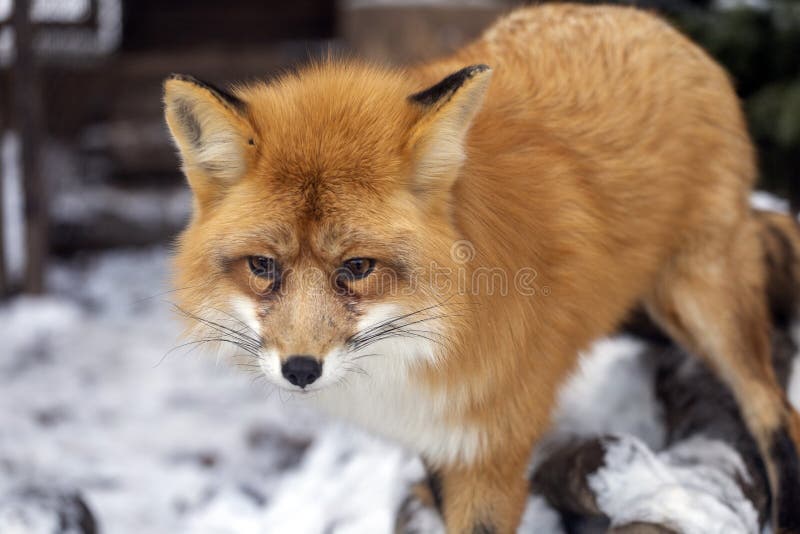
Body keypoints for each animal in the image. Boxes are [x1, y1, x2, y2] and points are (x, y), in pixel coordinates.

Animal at [163, 3, 800, 533]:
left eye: (359, 266)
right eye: (263, 265)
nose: (299, 370)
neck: (425, 339)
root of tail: (649, 21)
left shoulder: (494, 446)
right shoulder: (439, 428)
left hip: (704, 304)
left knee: (775, 412)